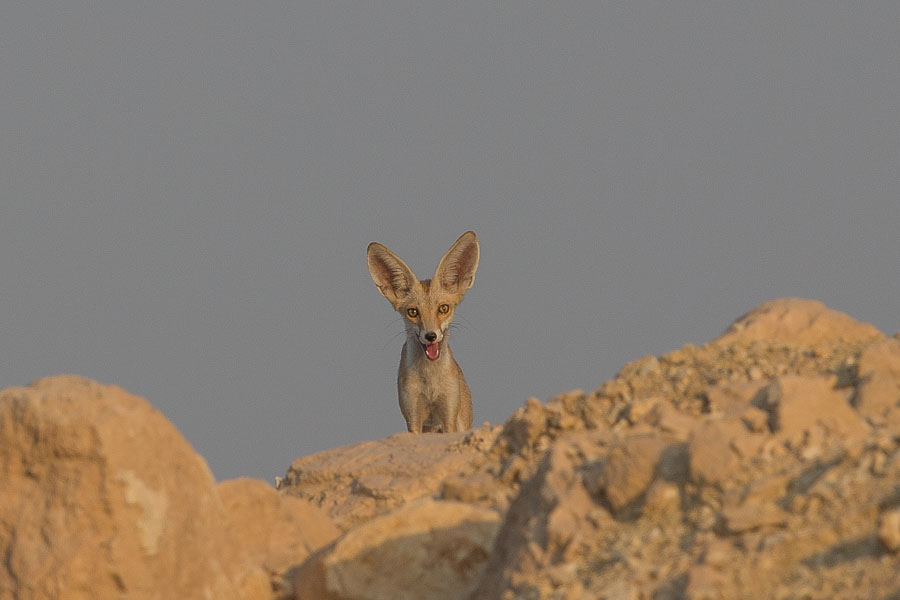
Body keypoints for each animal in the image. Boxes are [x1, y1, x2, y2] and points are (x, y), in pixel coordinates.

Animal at [366, 231, 480, 434]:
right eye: (413, 312)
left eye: (443, 309)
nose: (430, 336)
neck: (430, 384)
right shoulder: (413, 417)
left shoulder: (448, 416)